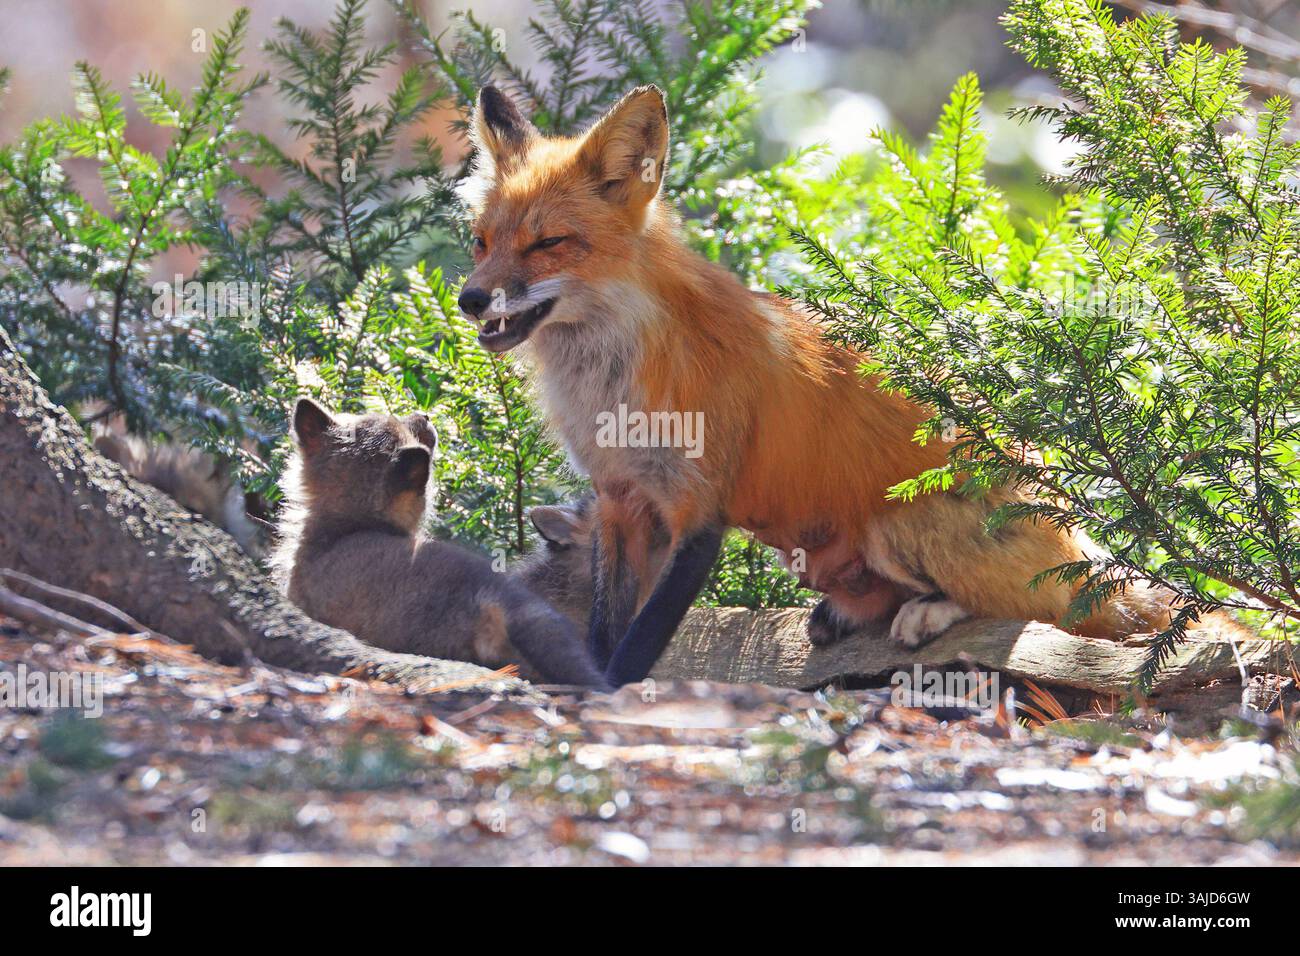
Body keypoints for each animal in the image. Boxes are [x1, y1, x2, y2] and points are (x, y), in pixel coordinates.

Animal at [456, 84, 1239, 687]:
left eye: (548, 244)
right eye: (480, 240)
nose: (468, 298)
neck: (612, 382)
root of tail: (1079, 537)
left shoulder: (699, 512)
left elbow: (638, 644)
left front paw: (606, 697)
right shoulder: (621, 504)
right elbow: (601, 630)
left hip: (901, 524)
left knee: (1045, 613)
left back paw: (934, 612)